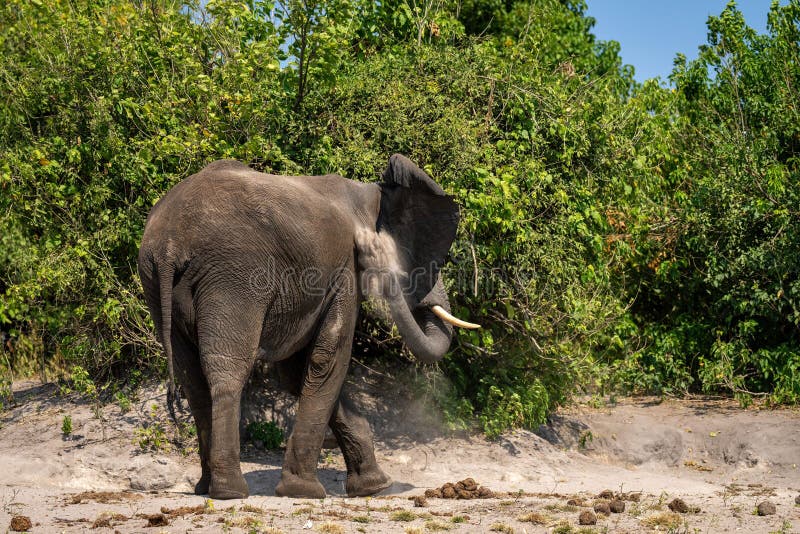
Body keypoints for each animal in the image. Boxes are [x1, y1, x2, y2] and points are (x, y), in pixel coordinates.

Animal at [137, 154, 478, 500]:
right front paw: (304, 491)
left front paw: (374, 486)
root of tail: (169, 244)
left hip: (155, 282)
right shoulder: (344, 269)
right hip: (232, 276)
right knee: (227, 369)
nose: (371, 249)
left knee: (191, 377)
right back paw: (230, 491)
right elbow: (328, 358)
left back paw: (205, 488)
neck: (369, 196)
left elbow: (296, 373)